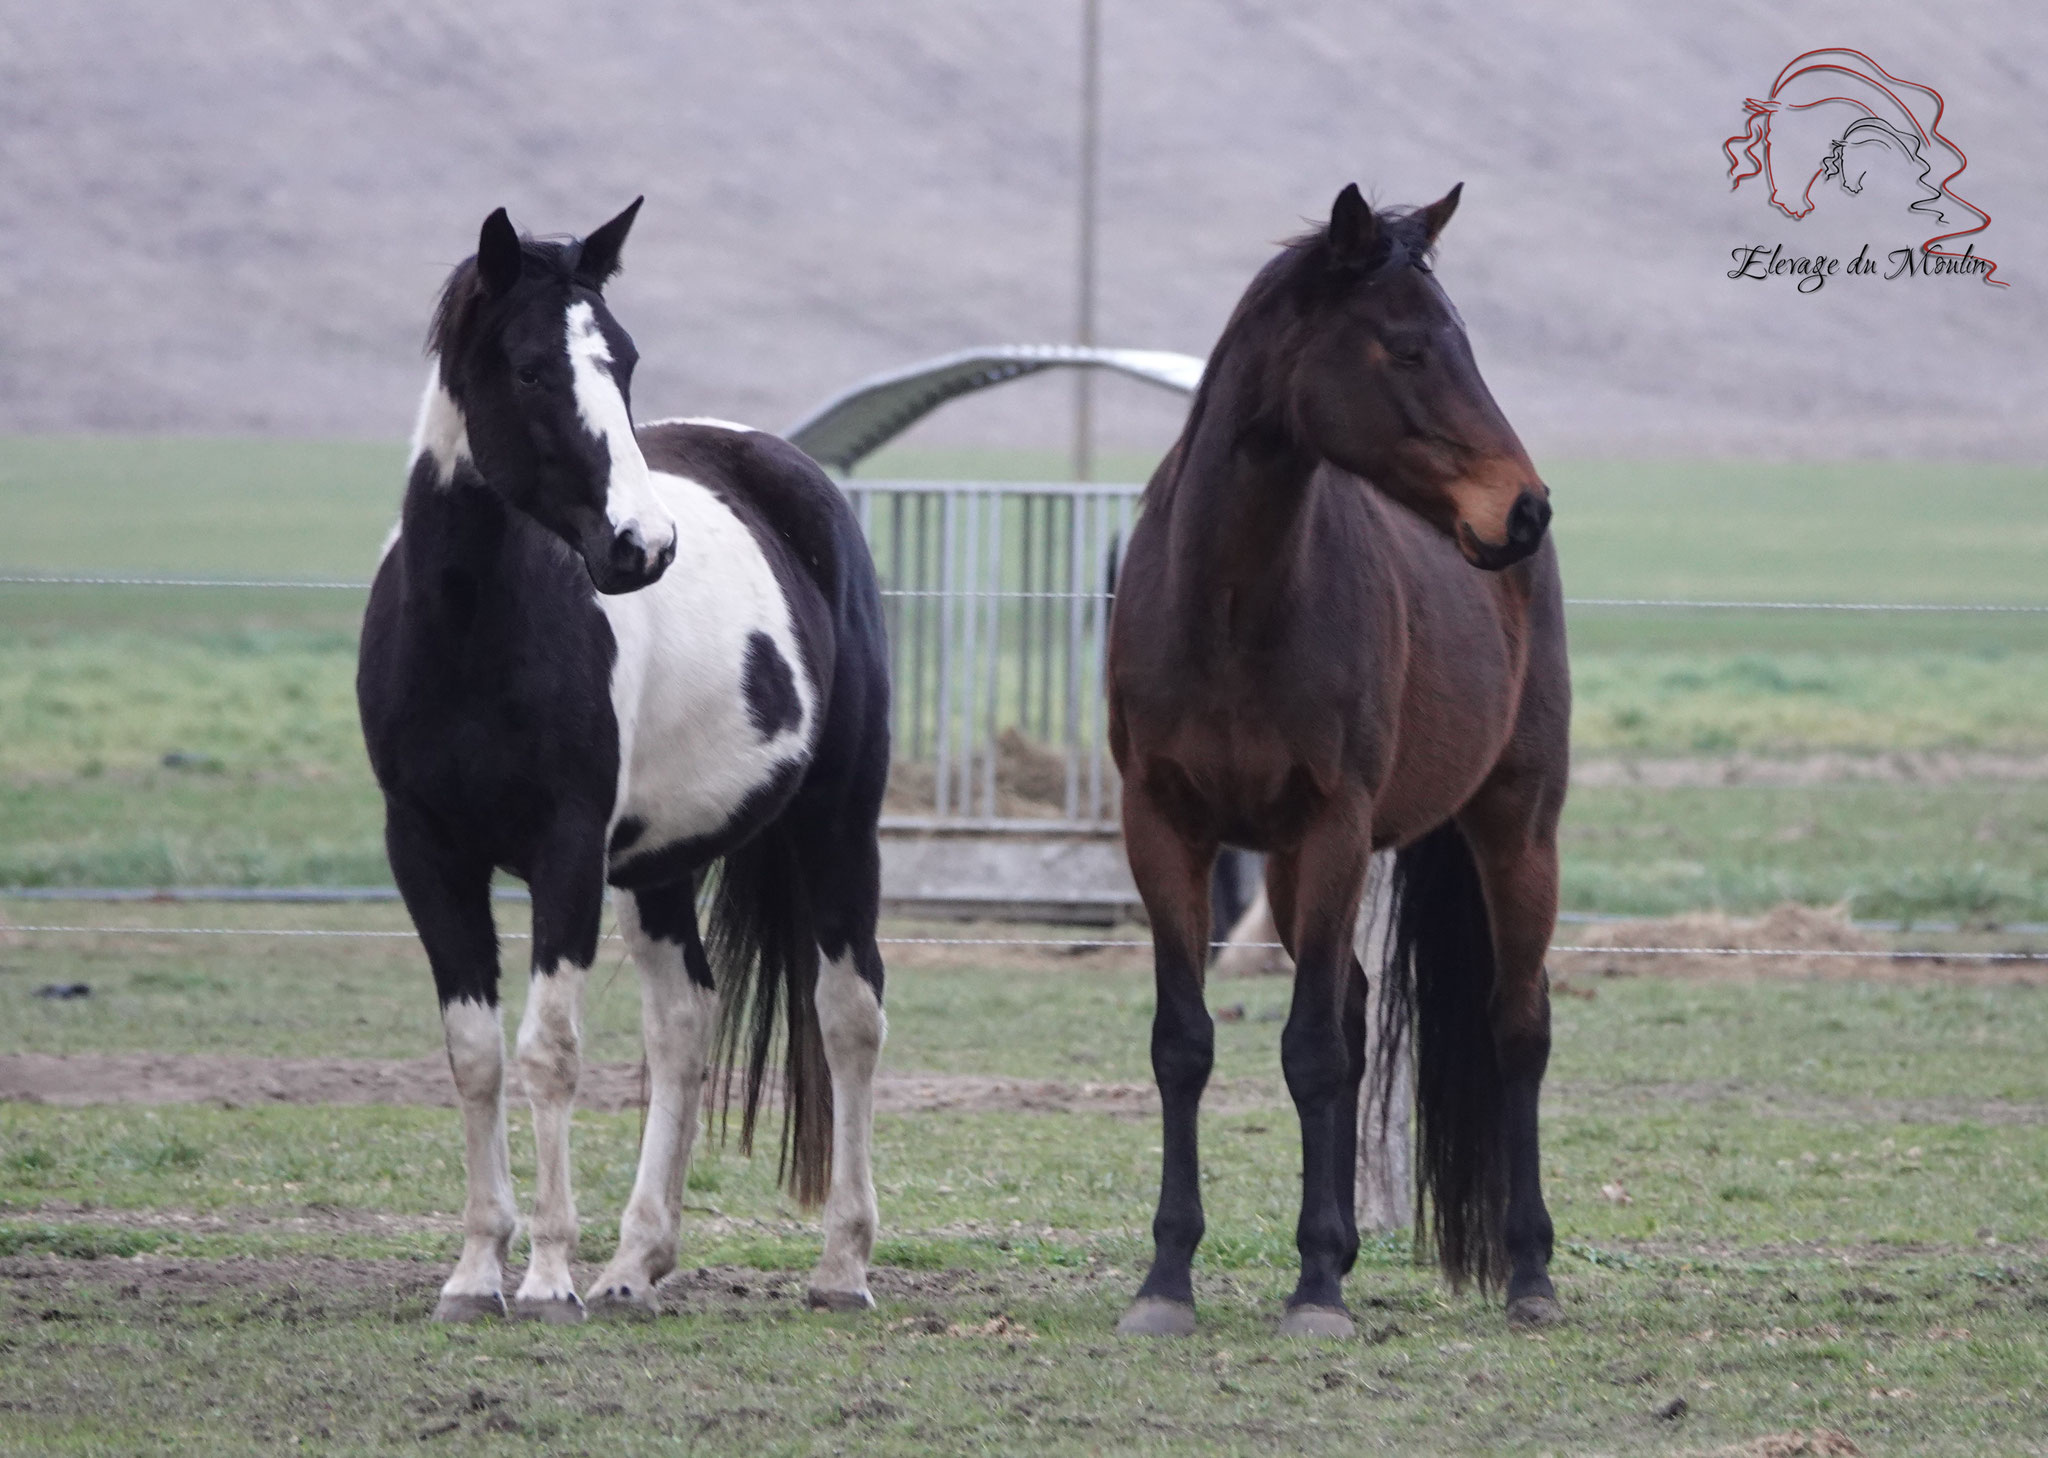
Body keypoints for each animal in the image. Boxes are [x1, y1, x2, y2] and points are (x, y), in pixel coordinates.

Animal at [357, 201, 892, 1323]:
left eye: (627, 361)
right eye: (527, 369)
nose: (642, 547)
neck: (471, 633)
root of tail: (783, 469)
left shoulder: (566, 851)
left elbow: (549, 1053)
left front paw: (546, 1275)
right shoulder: (425, 852)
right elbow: (474, 1055)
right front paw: (476, 1271)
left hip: (836, 824)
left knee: (849, 1015)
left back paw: (839, 1267)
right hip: (659, 863)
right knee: (683, 1026)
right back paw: (635, 1262)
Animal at [1105, 182, 1568, 1337]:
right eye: (1406, 349)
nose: (1524, 508)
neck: (1228, 601)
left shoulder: (1335, 827)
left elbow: (1309, 1052)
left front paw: (1312, 1290)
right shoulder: (1164, 828)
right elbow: (1185, 1044)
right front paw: (1166, 1280)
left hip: (1516, 828)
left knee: (1517, 1025)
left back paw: (1529, 1274)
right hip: (1286, 863)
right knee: (1358, 1013)